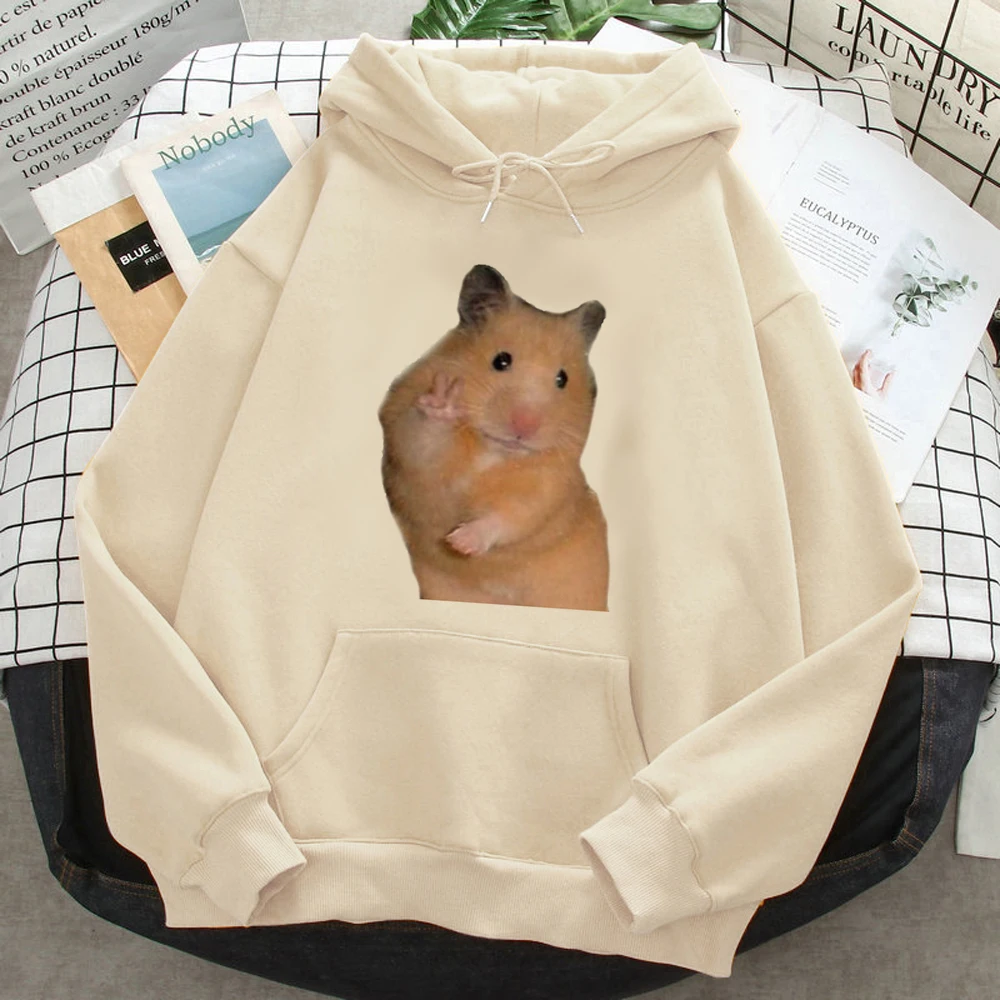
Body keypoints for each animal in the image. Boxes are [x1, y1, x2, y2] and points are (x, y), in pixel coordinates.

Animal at [378, 264, 609, 611]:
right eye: (501, 360)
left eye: (562, 379)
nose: (524, 427)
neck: (494, 451)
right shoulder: (404, 440)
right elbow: (424, 440)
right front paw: (444, 401)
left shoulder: (550, 486)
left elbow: (512, 515)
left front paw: (459, 543)